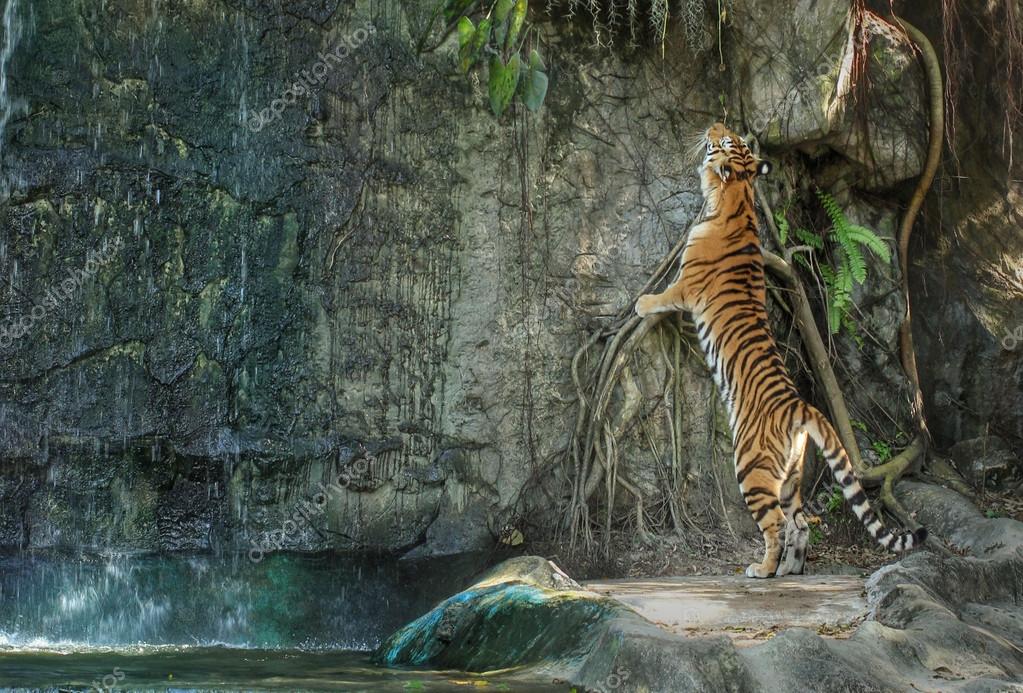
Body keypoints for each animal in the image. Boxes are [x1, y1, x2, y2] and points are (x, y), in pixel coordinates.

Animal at [635, 122, 927, 578]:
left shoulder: (686, 286)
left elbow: (662, 296)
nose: (714, 125)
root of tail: (801, 406)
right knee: (800, 521)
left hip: (751, 468)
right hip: (790, 475)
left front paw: (639, 303)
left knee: (774, 524)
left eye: (725, 141)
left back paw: (764, 569)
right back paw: (791, 568)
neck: (737, 197)